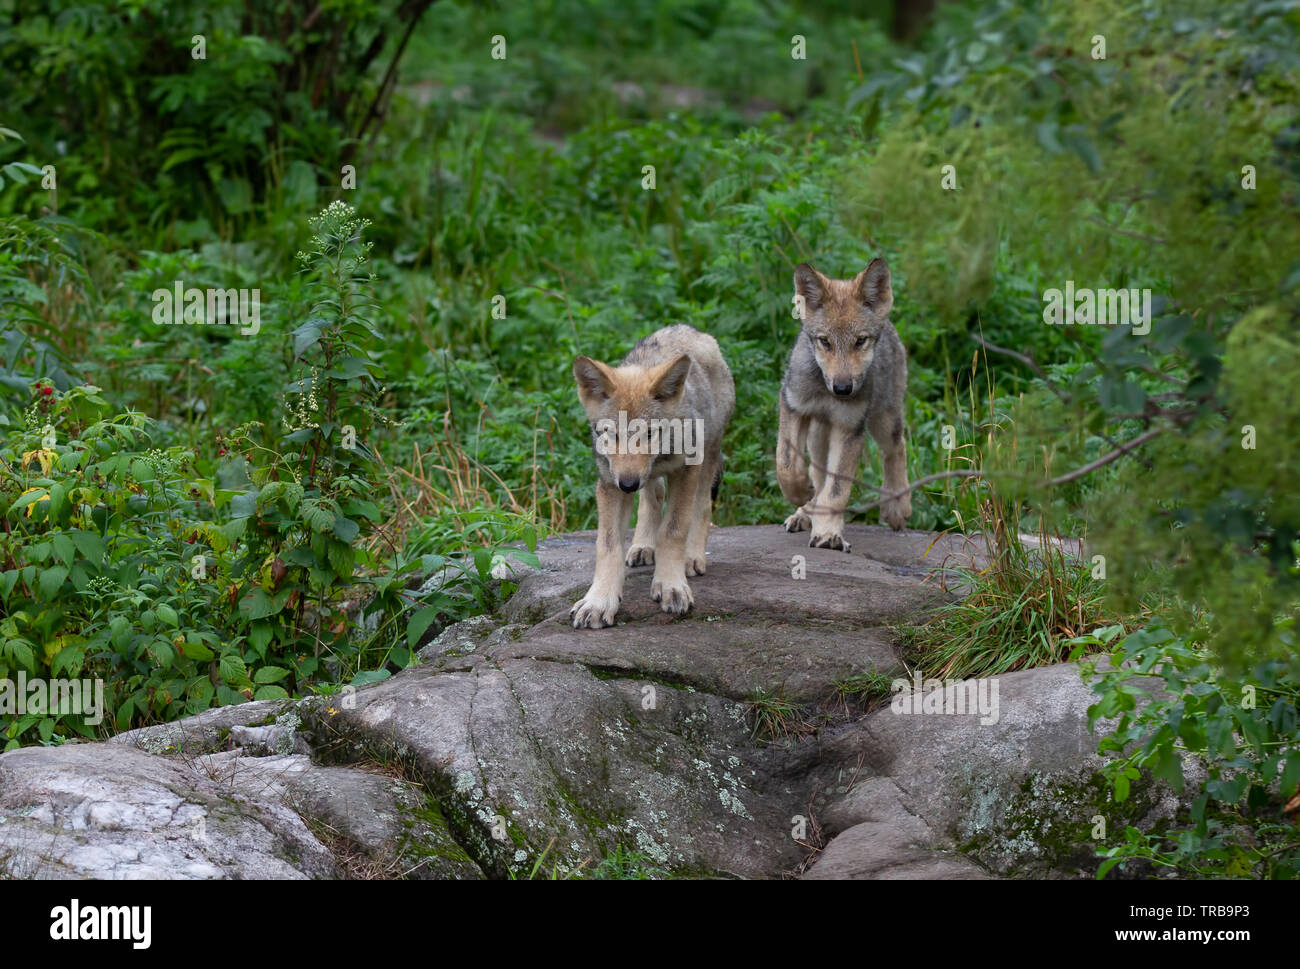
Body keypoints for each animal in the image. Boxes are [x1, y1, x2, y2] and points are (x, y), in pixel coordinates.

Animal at [570, 324, 735, 629]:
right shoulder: (609, 483)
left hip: (707, 455)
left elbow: (673, 530)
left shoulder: (685, 472)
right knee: (653, 498)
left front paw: (671, 586)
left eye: (648, 434)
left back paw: (692, 557)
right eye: (611, 434)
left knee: (702, 505)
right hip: (646, 478)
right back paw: (643, 546)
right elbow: (607, 545)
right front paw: (598, 602)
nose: (629, 484)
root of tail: (692, 329)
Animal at [775, 259, 910, 552]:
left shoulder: (850, 428)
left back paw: (897, 507)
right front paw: (801, 495)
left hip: (884, 421)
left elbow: (836, 491)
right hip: (818, 436)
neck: (826, 394)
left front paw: (828, 534)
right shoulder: (793, 407)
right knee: (817, 475)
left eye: (860, 341)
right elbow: (787, 464)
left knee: (897, 449)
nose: (843, 389)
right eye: (825, 341)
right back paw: (805, 512)